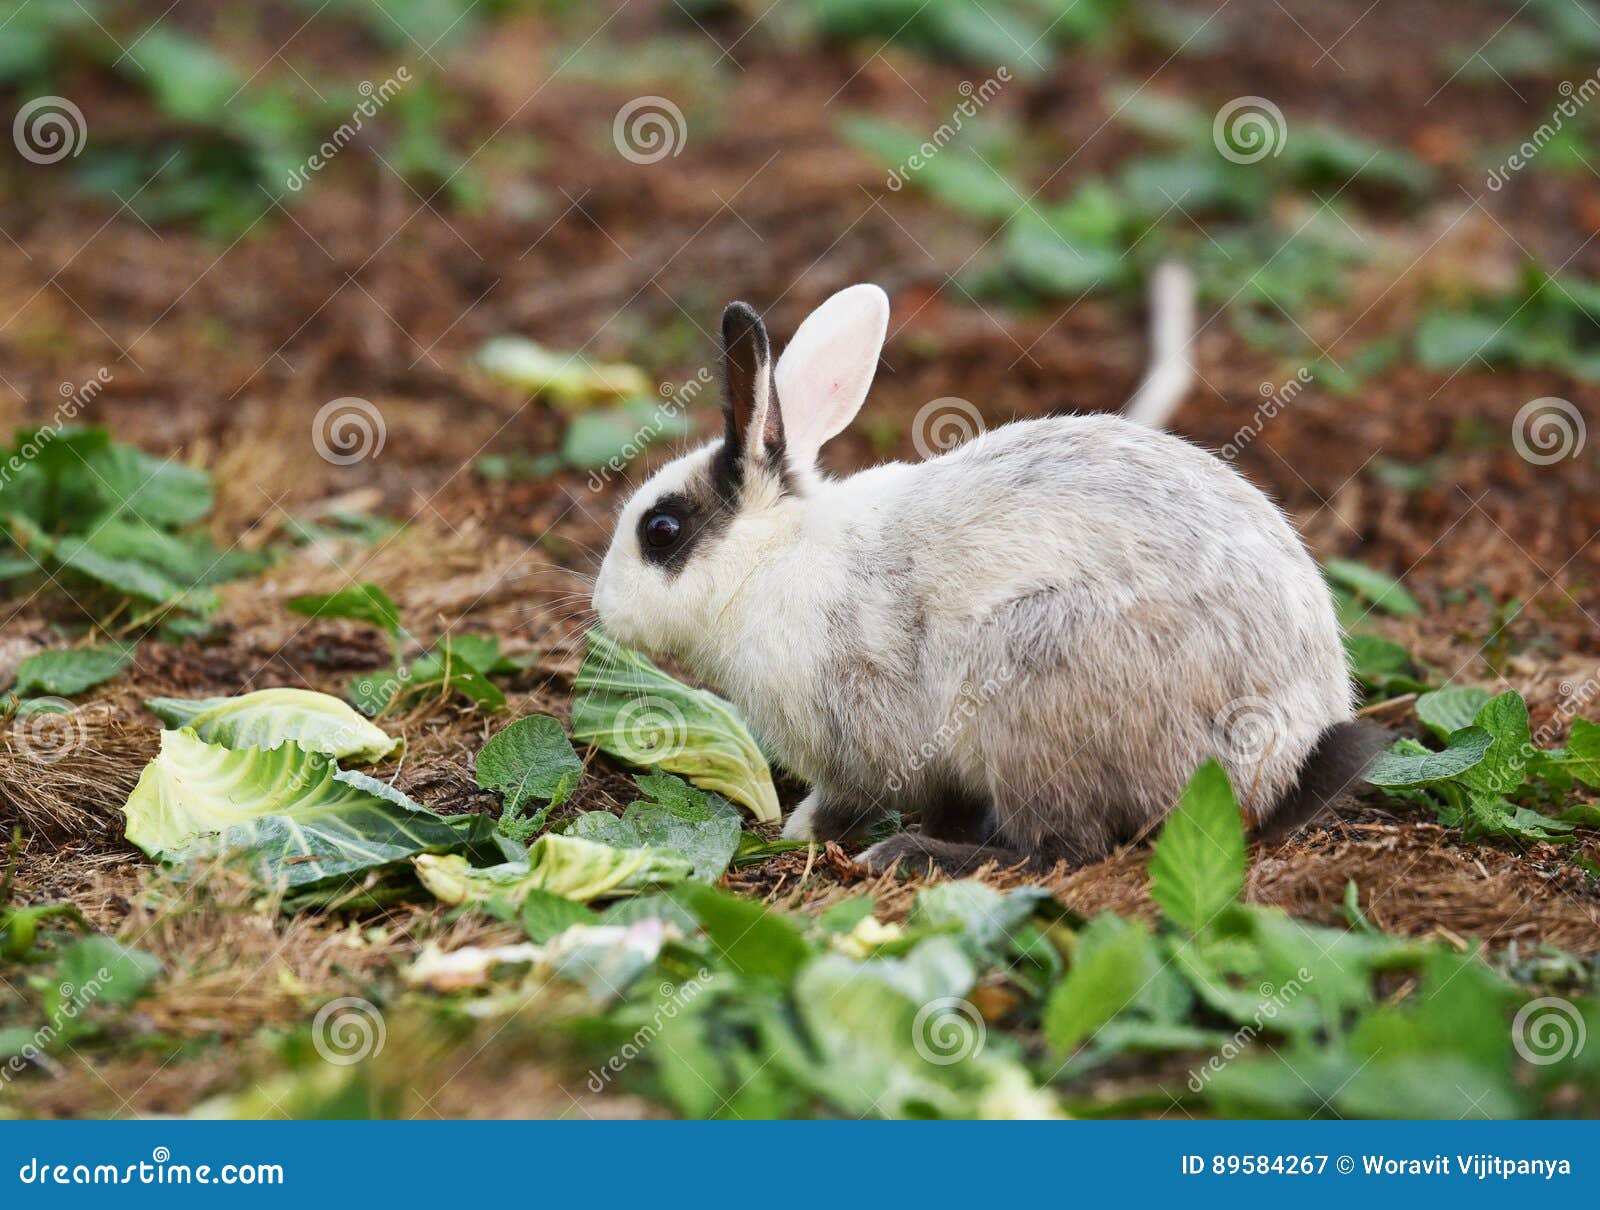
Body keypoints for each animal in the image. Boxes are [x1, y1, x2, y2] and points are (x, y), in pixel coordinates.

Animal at [590, 280, 1381, 875]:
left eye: (661, 531)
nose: (603, 610)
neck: (771, 558)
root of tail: (1271, 766)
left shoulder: (862, 741)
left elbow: (845, 798)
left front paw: (799, 830)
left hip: (1029, 690)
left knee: (1062, 851)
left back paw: (905, 855)